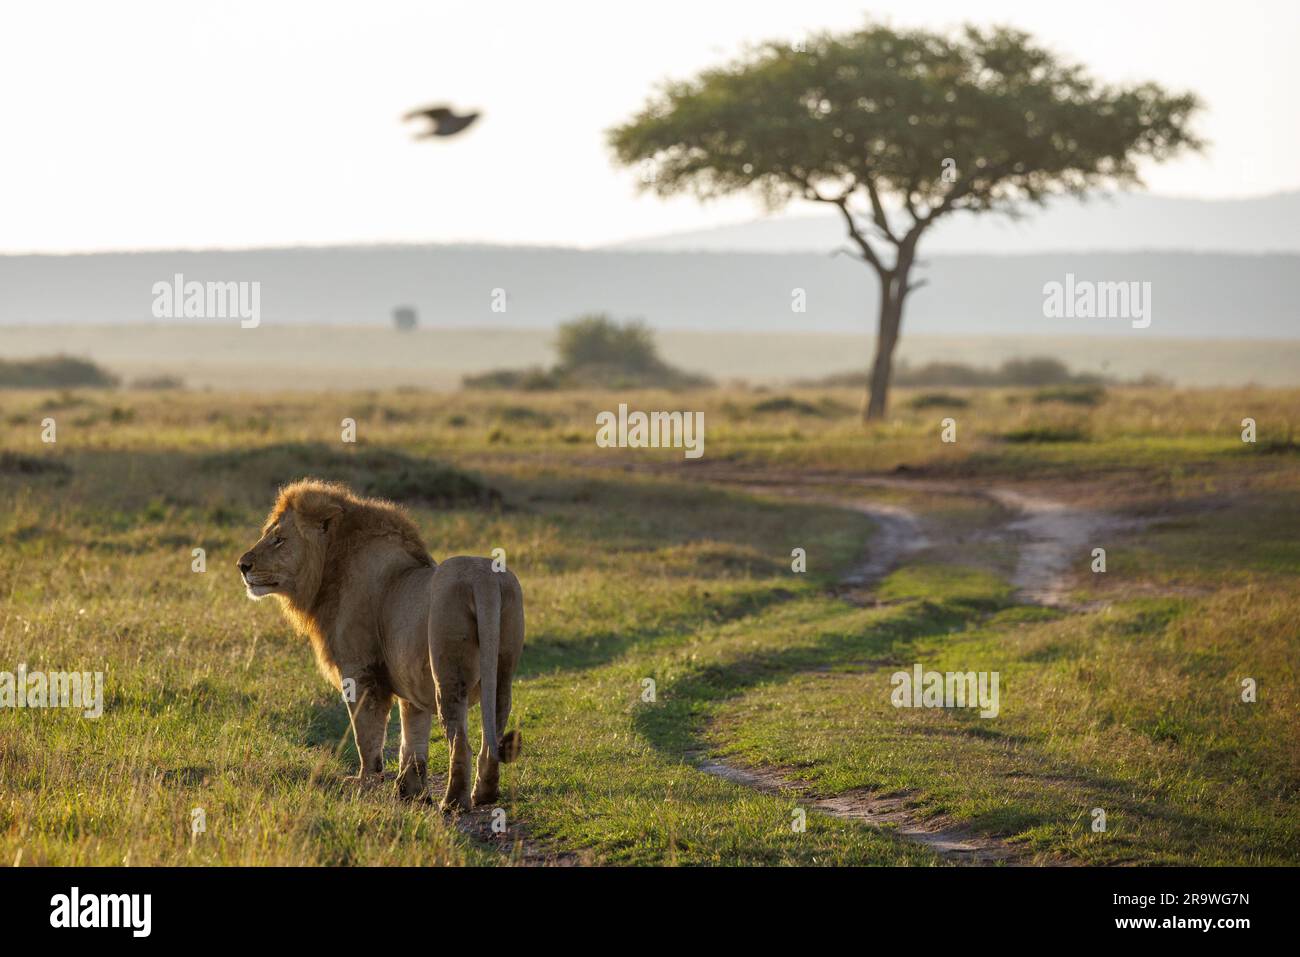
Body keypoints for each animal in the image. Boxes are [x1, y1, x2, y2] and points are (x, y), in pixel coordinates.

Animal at [236, 479, 524, 812]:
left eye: (279, 539)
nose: (242, 565)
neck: (328, 569)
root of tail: (485, 579)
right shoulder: (411, 679)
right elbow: (413, 737)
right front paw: (411, 792)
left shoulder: (360, 672)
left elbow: (367, 733)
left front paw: (365, 783)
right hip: (502, 670)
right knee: (495, 727)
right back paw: (483, 793)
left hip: (449, 675)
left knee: (460, 741)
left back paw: (453, 802)